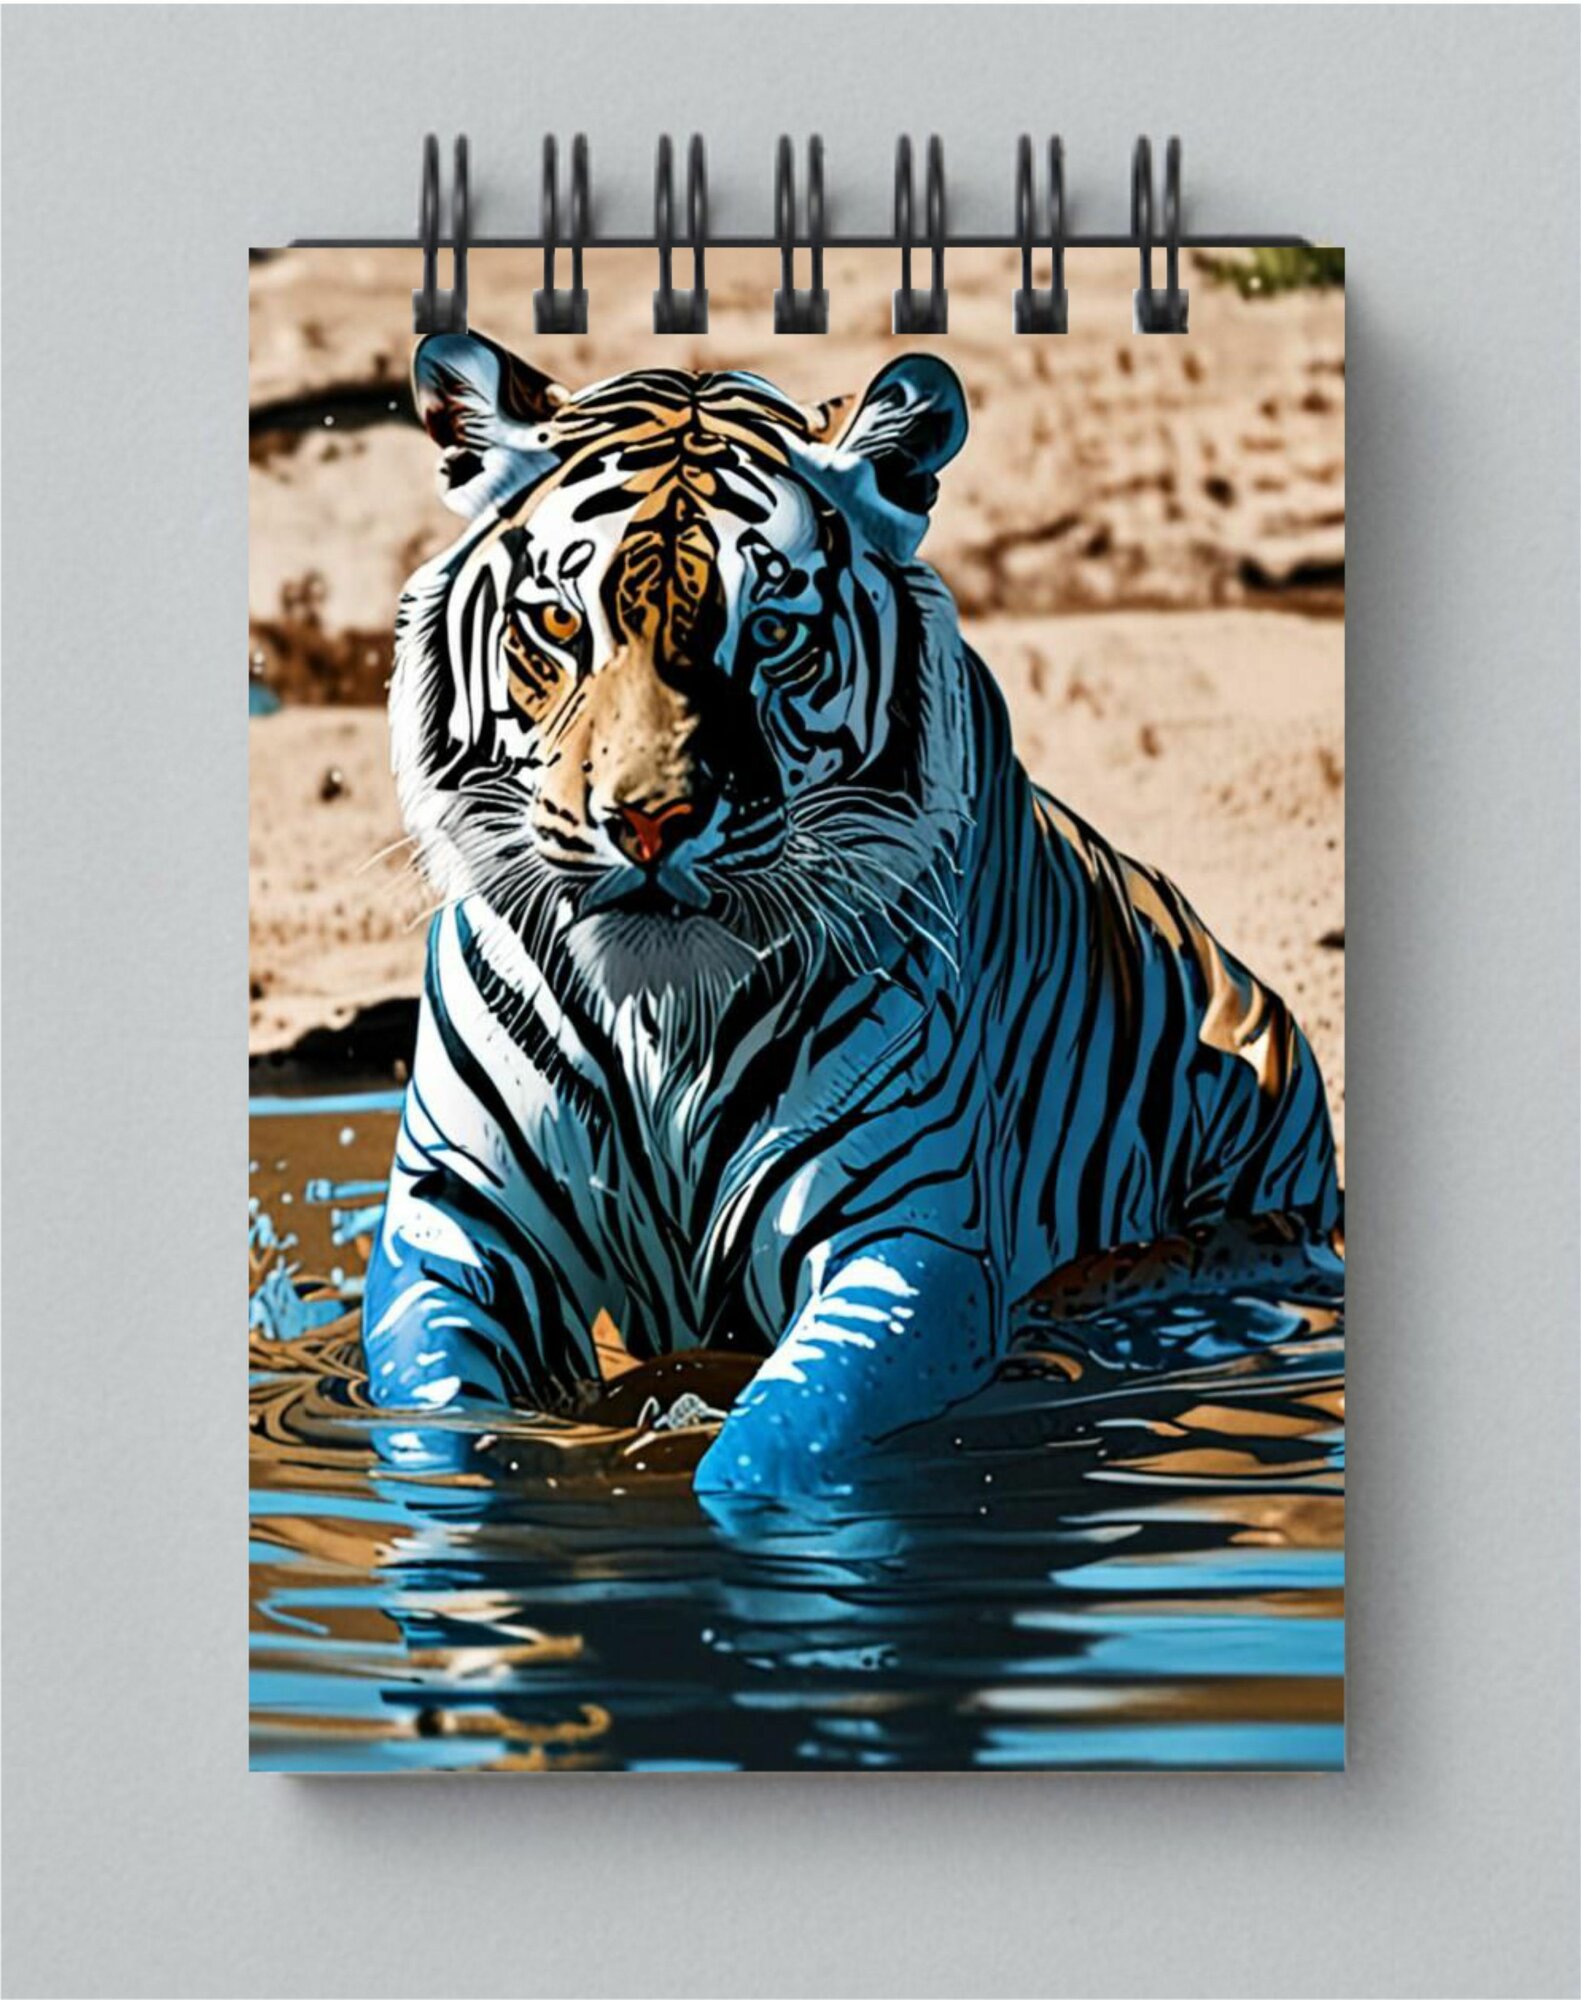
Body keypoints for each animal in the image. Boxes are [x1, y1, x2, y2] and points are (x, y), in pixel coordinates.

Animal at [362, 331, 1342, 1498]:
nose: (649, 821)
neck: (661, 1017)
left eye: (772, 633)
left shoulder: (908, 1239)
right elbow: (430, 1423)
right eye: (558, 622)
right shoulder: (453, 1221)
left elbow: (779, 1440)